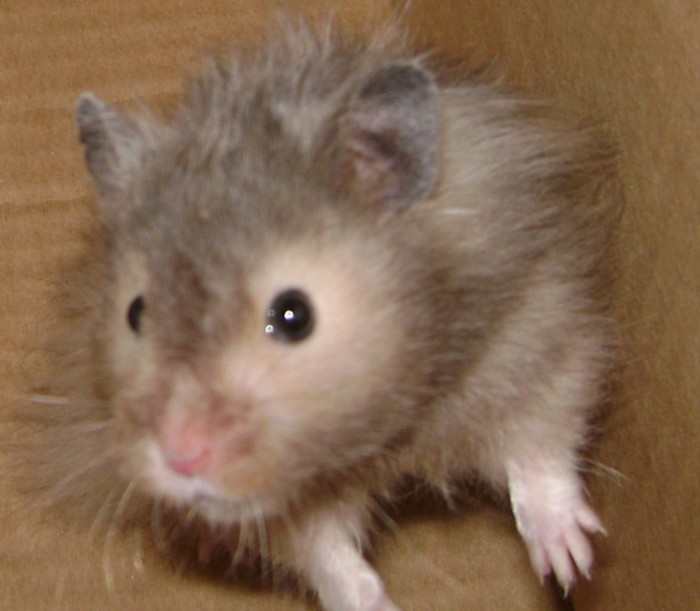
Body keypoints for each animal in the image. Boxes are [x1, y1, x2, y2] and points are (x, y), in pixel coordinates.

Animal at [31, 21, 617, 611]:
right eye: (135, 312)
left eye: (294, 315)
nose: (181, 458)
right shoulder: (291, 508)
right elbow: (326, 555)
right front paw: (382, 605)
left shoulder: (538, 335)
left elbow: (540, 449)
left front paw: (571, 564)